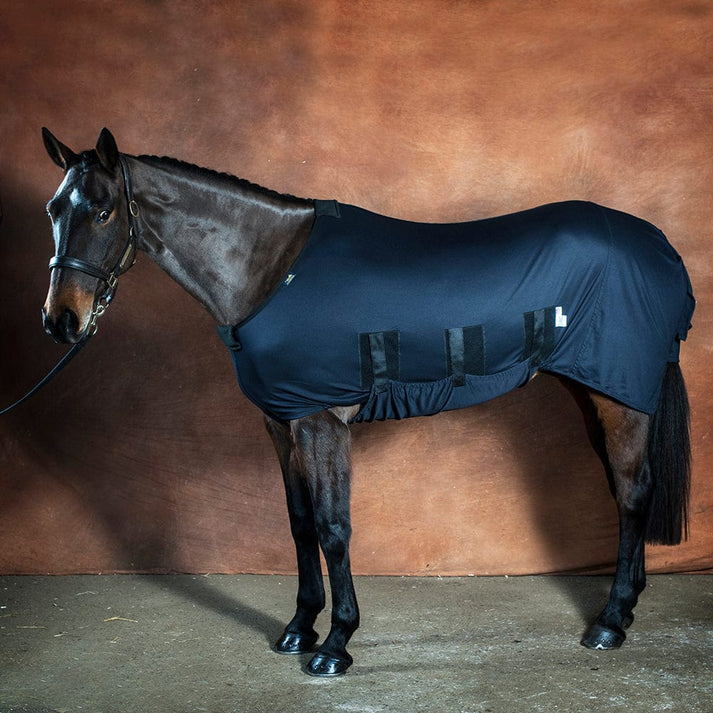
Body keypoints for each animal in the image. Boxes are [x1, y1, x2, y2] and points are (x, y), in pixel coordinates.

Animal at [40, 128, 694, 677]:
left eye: (102, 210)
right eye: (53, 210)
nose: (60, 320)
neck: (272, 270)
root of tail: (659, 244)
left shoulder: (320, 422)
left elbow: (333, 528)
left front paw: (335, 644)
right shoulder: (281, 424)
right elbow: (300, 523)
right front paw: (299, 629)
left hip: (620, 398)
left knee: (634, 493)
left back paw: (609, 624)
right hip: (594, 394)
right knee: (627, 491)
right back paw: (626, 608)